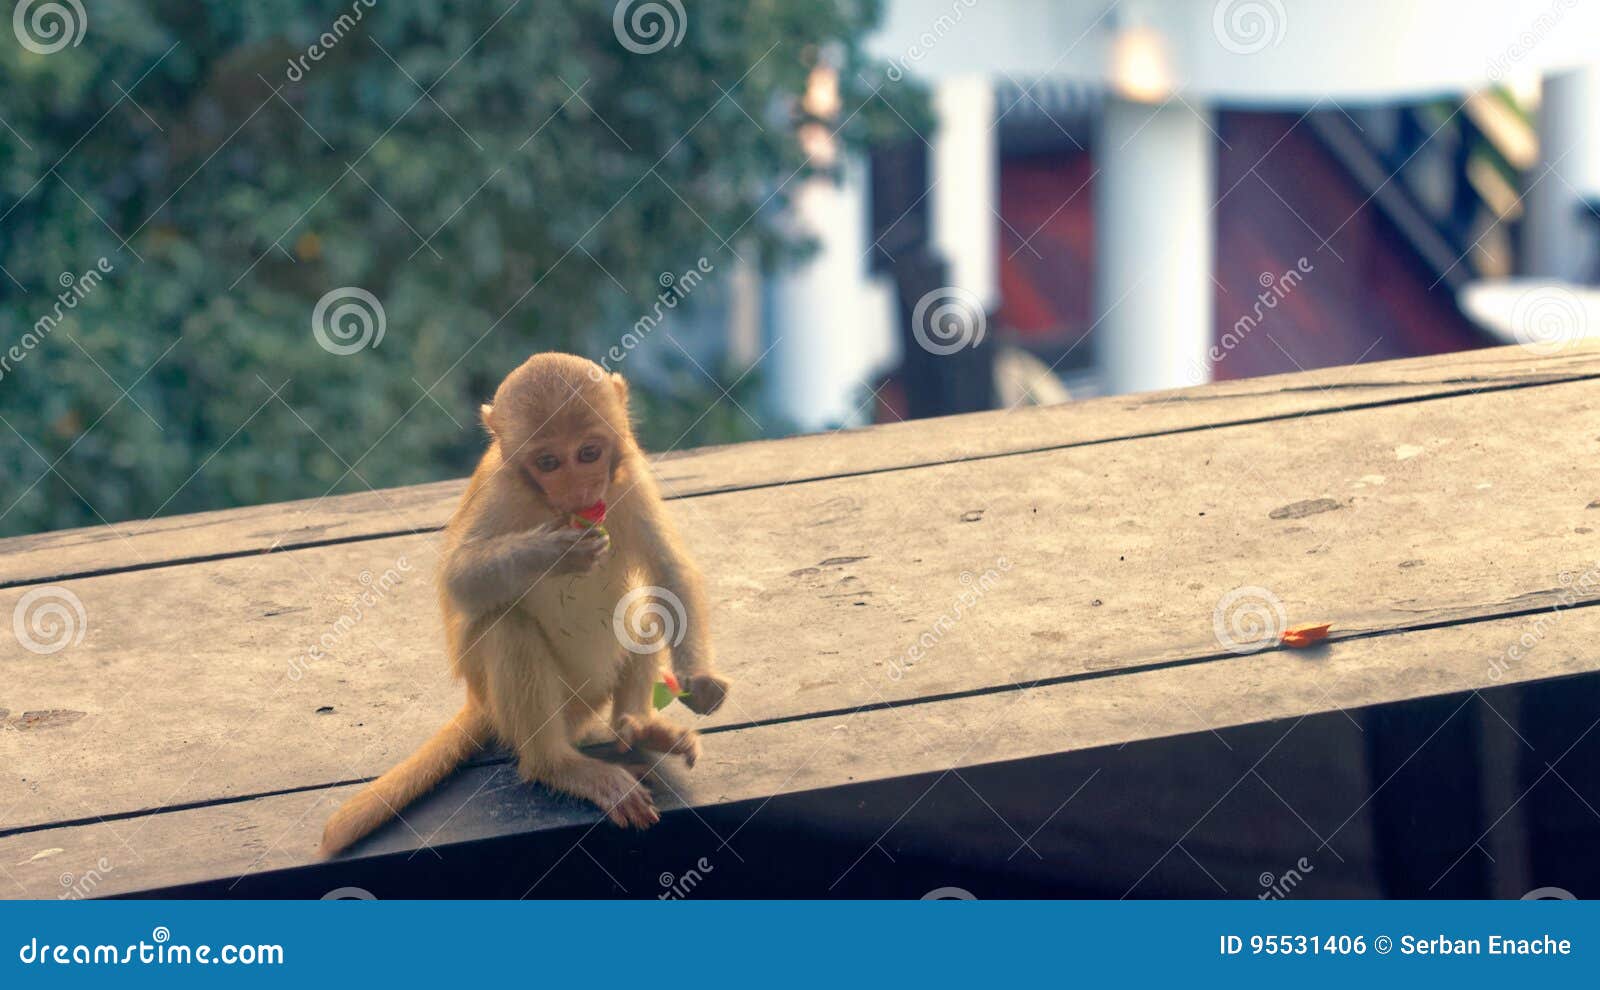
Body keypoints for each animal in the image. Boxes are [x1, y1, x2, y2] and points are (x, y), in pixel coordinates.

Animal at [319, 352, 732, 855]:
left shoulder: (629, 479)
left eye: (589, 453)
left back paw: (636, 724)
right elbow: (458, 578)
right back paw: (559, 766)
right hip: (522, 702)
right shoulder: (502, 491)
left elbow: (669, 573)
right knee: (506, 627)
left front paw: (701, 682)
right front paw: (552, 553)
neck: (552, 508)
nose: (579, 491)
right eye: (549, 462)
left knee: (644, 612)